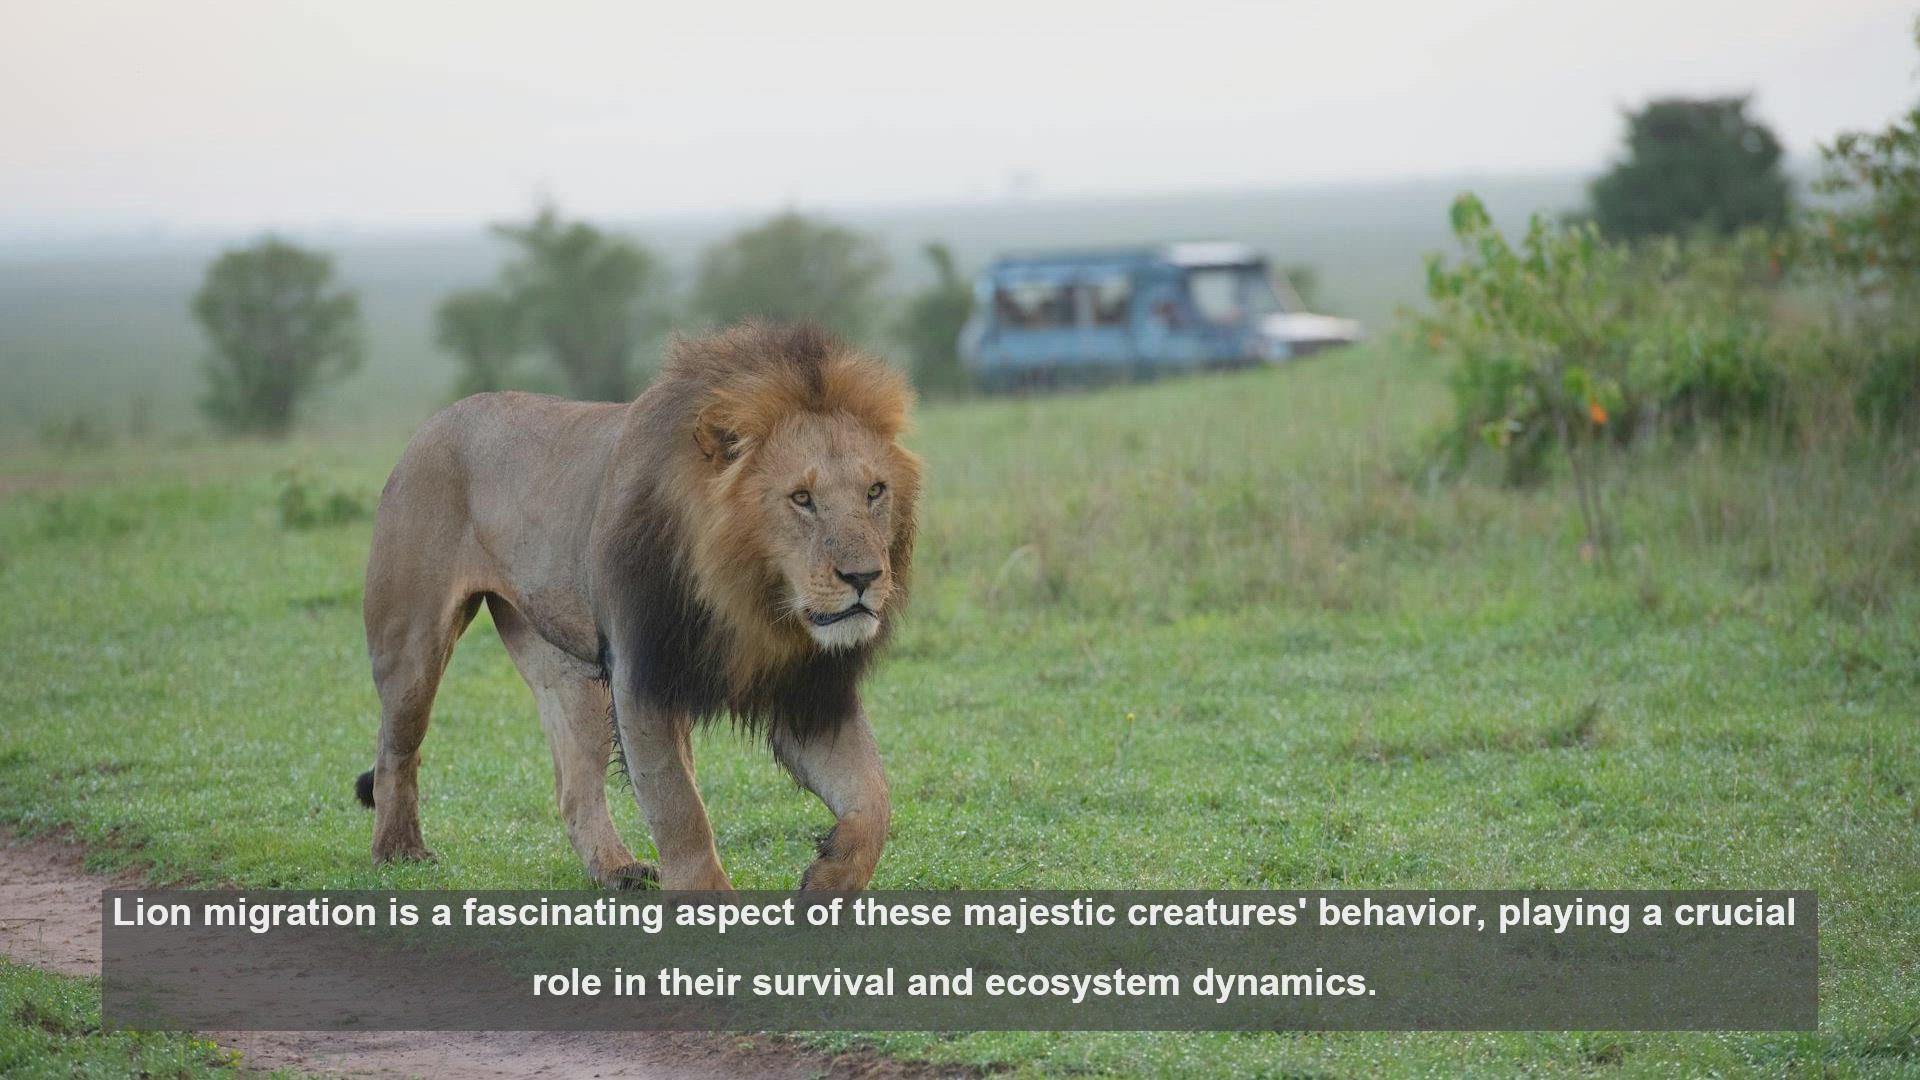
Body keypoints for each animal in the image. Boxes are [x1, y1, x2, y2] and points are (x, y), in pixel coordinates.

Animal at [353, 322, 920, 891]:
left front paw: (827, 878)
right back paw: (399, 852)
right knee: (394, 750)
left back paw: (617, 870)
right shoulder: (641, 677)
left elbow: (875, 799)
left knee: (575, 788)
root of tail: (434, 422)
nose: (864, 578)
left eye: (875, 491)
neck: (749, 600)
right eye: (802, 498)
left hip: (569, 671)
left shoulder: (808, 690)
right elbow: (679, 807)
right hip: (412, 648)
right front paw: (707, 899)